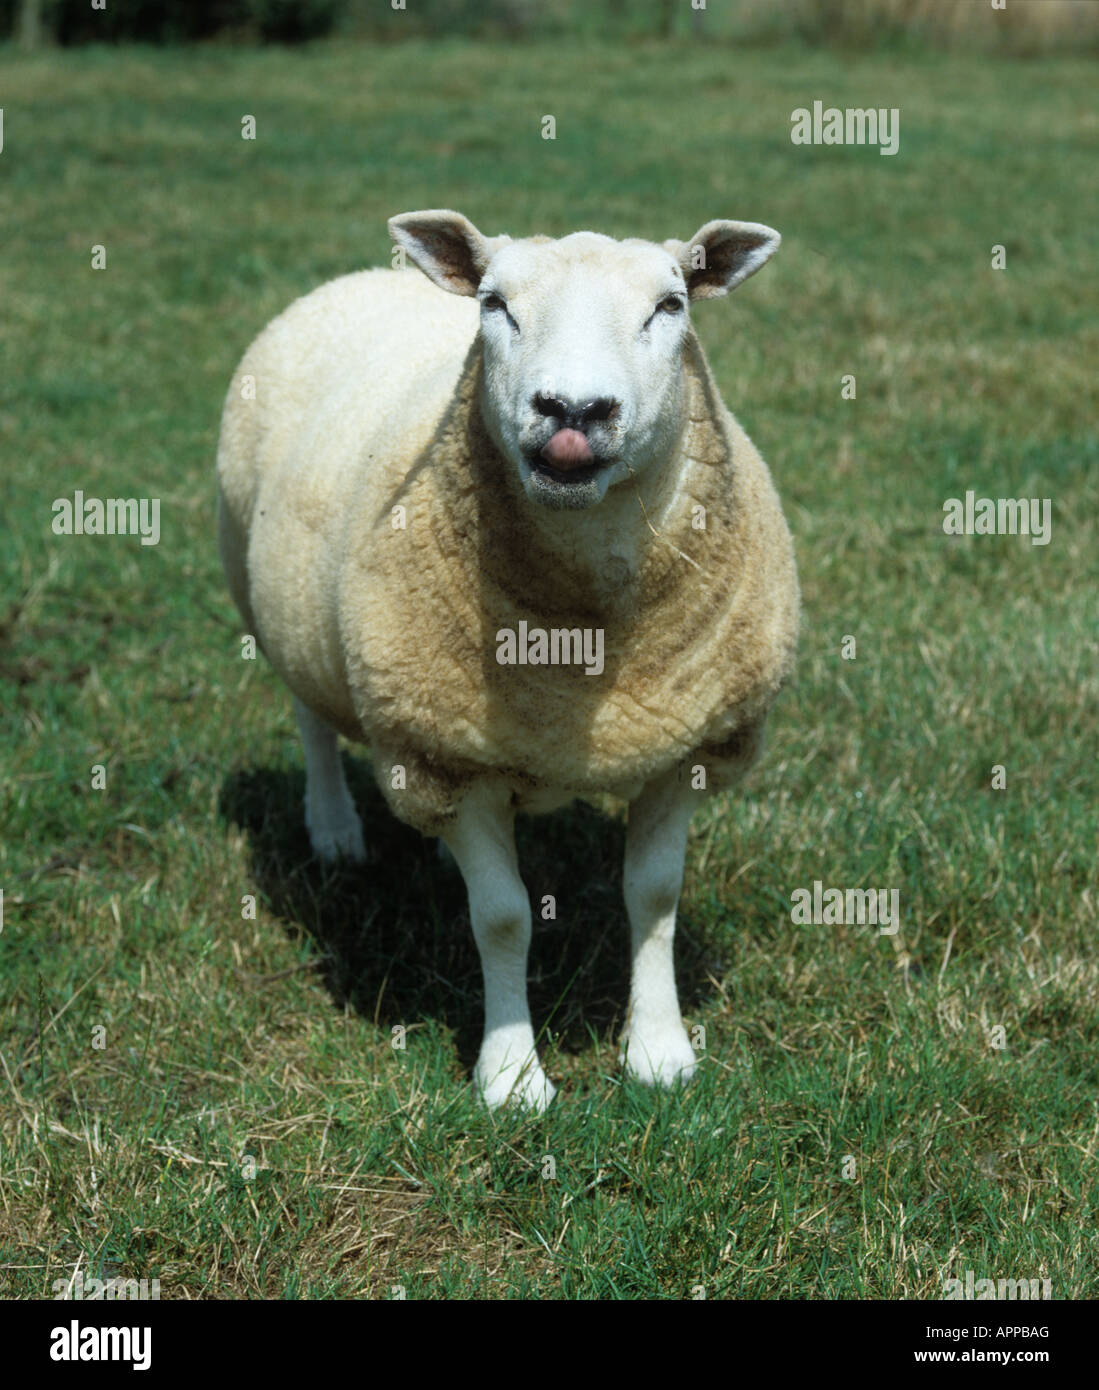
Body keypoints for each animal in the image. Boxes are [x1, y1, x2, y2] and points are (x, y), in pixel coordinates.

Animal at [216, 210, 799, 1112]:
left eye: (669, 305)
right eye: (494, 304)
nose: (573, 409)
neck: (586, 647)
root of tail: (366, 276)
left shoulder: (686, 747)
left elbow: (654, 895)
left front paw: (658, 1051)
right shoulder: (450, 759)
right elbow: (502, 917)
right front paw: (512, 1075)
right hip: (267, 593)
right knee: (311, 717)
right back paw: (335, 829)